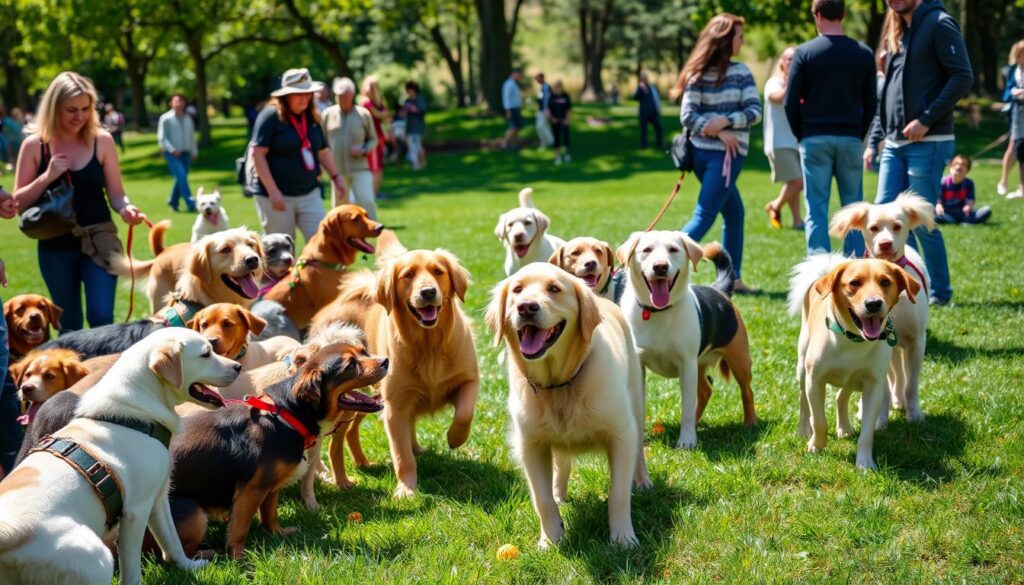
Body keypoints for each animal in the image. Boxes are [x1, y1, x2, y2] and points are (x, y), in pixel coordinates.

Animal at [0, 329, 238, 585]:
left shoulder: (158, 498)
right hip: (99, 559)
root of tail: (11, 533)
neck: (134, 414)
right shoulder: (135, 512)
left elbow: (172, 542)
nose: (238, 367)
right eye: (206, 354)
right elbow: (132, 569)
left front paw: (188, 567)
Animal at [163, 346, 387, 561]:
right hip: (195, 515)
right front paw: (238, 558)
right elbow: (239, 529)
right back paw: (205, 555)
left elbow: (270, 514)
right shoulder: (251, 490)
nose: (386, 360)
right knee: (167, 553)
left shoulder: (270, 485)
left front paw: (278, 533)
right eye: (350, 365)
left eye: (363, 351)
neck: (286, 415)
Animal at [485, 264, 647, 549]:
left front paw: (623, 539)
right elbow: (542, 499)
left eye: (554, 289)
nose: (526, 307)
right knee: (562, 466)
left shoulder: (622, 434)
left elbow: (618, 493)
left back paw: (643, 482)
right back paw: (559, 493)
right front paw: (551, 540)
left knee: (639, 453)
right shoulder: (532, 444)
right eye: (517, 289)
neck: (558, 385)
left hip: (637, 406)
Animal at [786, 256, 925, 471]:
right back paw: (803, 430)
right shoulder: (815, 380)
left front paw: (865, 463)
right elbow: (819, 420)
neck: (853, 340)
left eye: (885, 282)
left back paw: (844, 427)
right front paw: (816, 445)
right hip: (802, 367)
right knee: (803, 399)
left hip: (852, 380)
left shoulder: (873, 385)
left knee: (841, 397)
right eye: (854, 283)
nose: (874, 303)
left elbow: (867, 432)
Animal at [831, 194, 937, 428]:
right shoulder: (880, 347)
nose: (885, 243)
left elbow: (911, 383)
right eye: (873, 228)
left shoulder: (917, 340)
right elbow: (883, 388)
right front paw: (879, 418)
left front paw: (914, 413)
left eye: (897, 226)